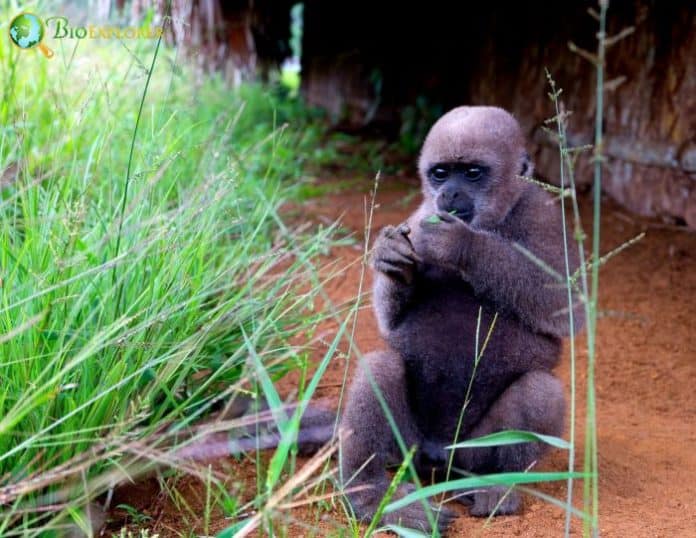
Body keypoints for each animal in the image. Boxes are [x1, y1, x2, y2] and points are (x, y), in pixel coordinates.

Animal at [339, 106, 584, 533]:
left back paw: (497, 484)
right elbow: (390, 323)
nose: (449, 195)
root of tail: (438, 453)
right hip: (408, 449)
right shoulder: (421, 214)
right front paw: (389, 255)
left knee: (540, 391)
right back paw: (371, 496)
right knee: (380, 366)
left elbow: (566, 306)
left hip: (470, 451)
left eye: (471, 173)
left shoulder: (544, 213)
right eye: (440, 173)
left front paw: (461, 245)